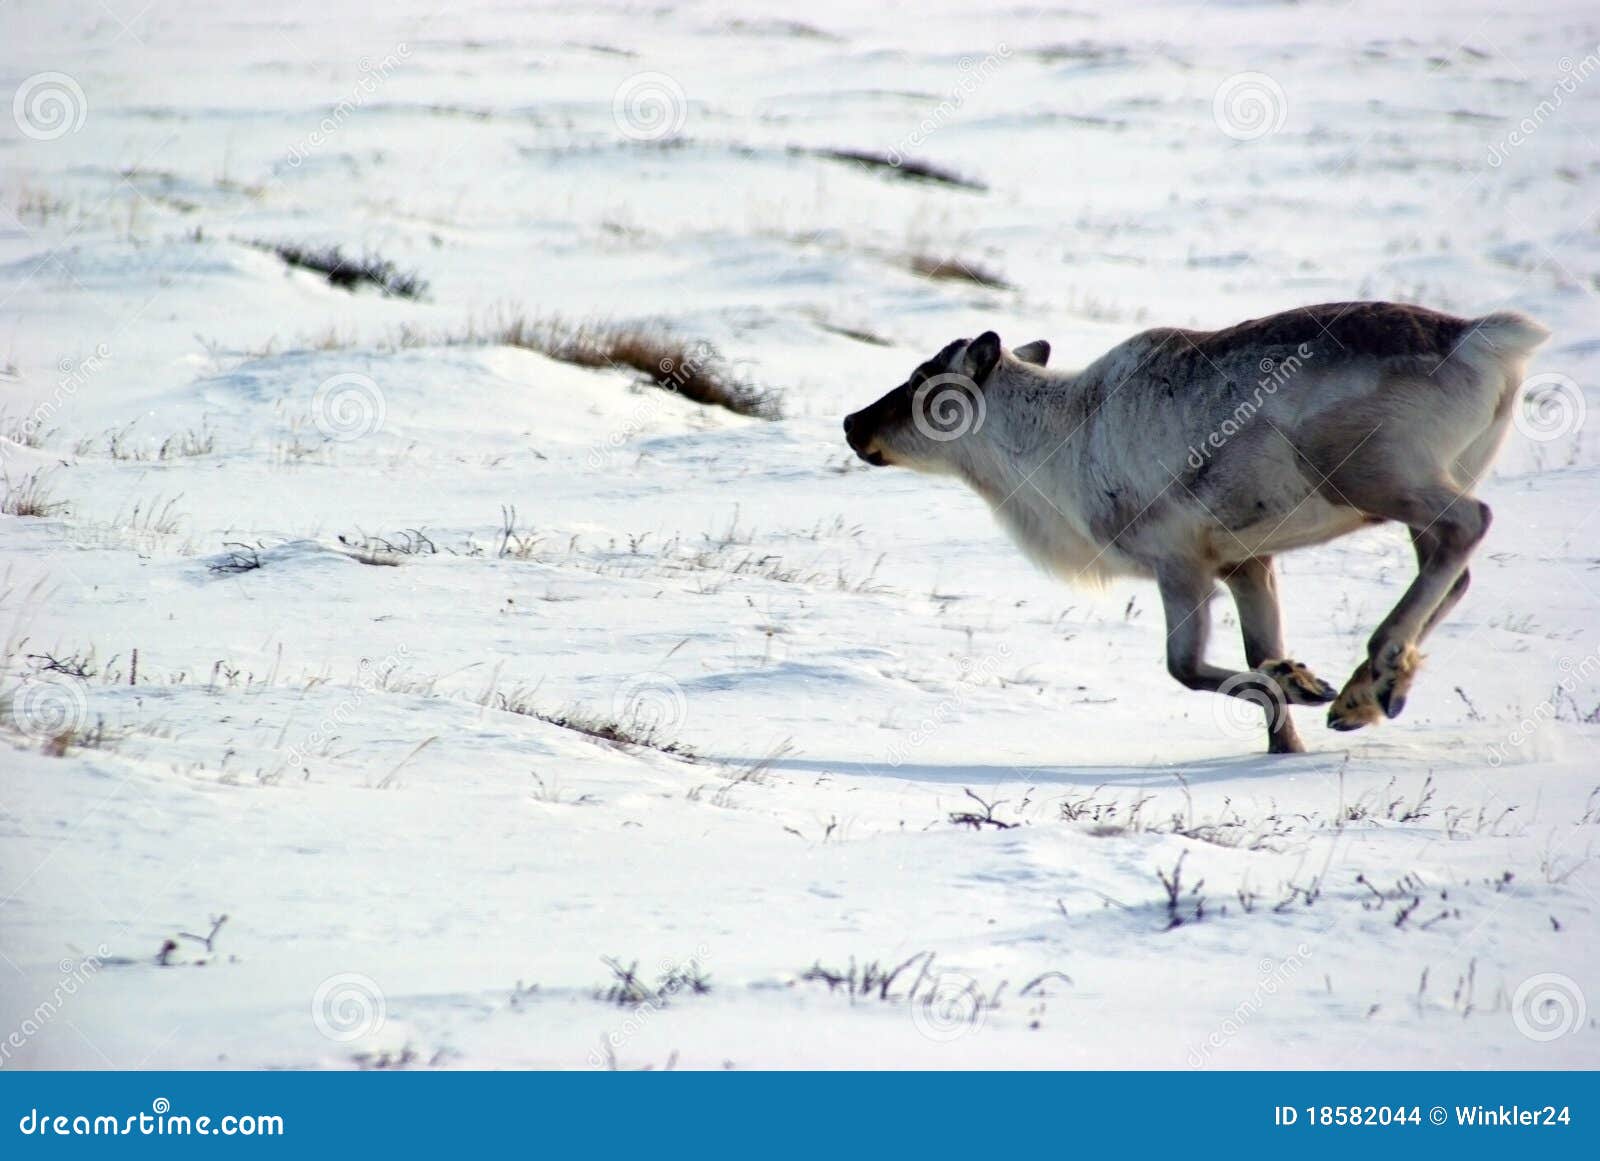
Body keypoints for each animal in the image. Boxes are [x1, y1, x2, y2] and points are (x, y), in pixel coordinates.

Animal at [842, 302, 1549, 754]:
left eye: (923, 382)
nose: (852, 423)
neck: (1058, 441)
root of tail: (1485, 341)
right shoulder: (1247, 562)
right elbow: (1259, 657)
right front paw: (1292, 716)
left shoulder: (1178, 562)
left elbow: (1183, 668)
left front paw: (1300, 689)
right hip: (1416, 485)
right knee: (1452, 569)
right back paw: (1366, 693)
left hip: (1374, 475)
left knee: (1469, 524)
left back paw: (1375, 675)